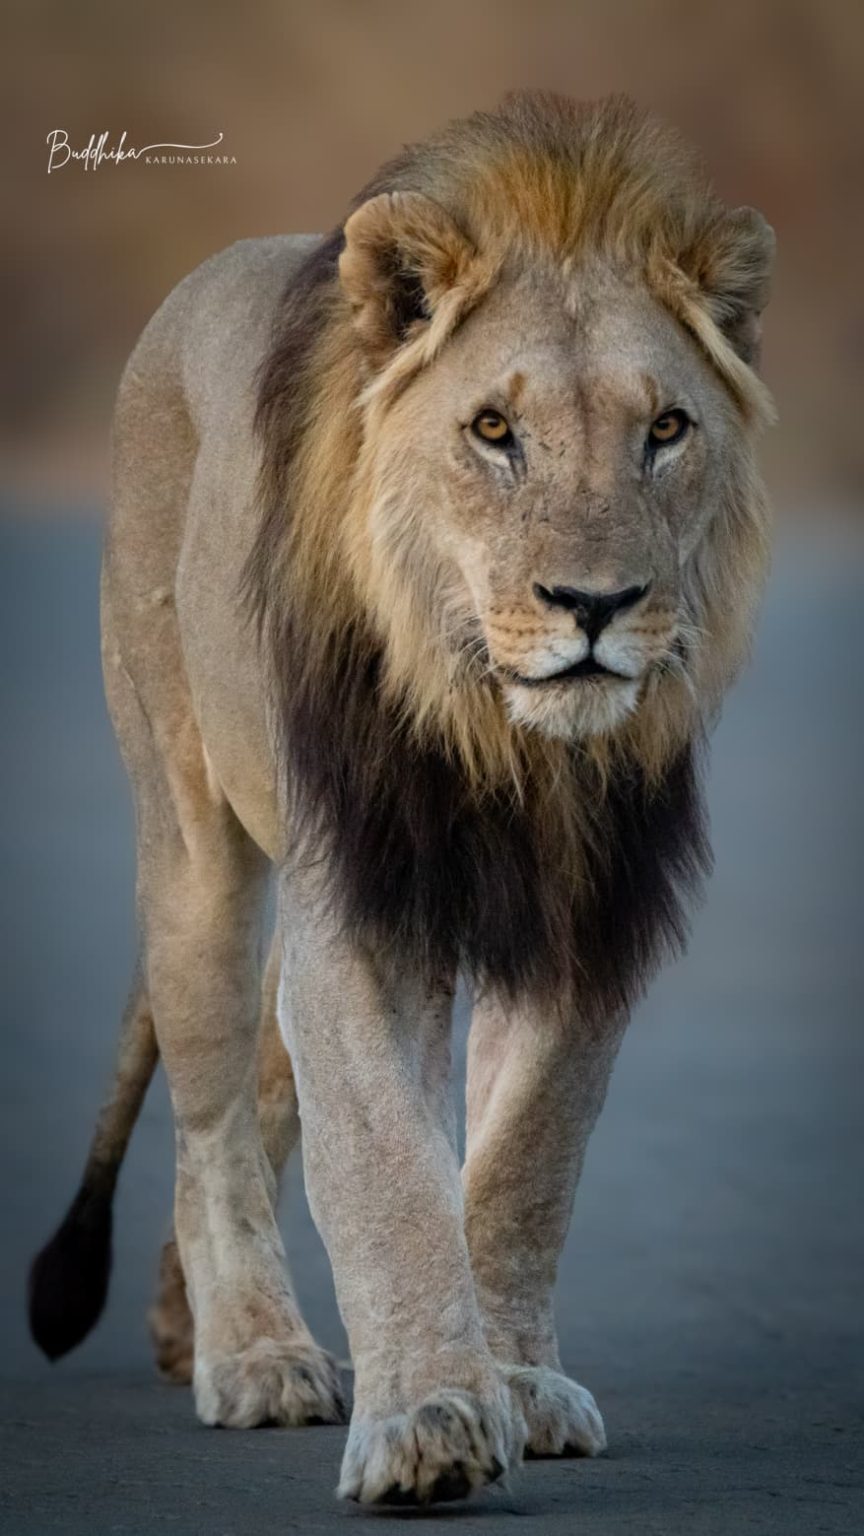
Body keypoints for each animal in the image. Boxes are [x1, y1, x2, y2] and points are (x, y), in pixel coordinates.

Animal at [28, 91, 775, 1505]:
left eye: (666, 430)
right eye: (493, 431)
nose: (594, 606)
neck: (511, 743)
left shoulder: (583, 921)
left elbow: (521, 1163)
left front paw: (516, 1383)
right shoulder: (368, 916)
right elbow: (385, 1172)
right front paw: (429, 1417)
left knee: (270, 1084)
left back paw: (182, 1323)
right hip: (194, 849)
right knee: (212, 1116)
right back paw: (253, 1355)